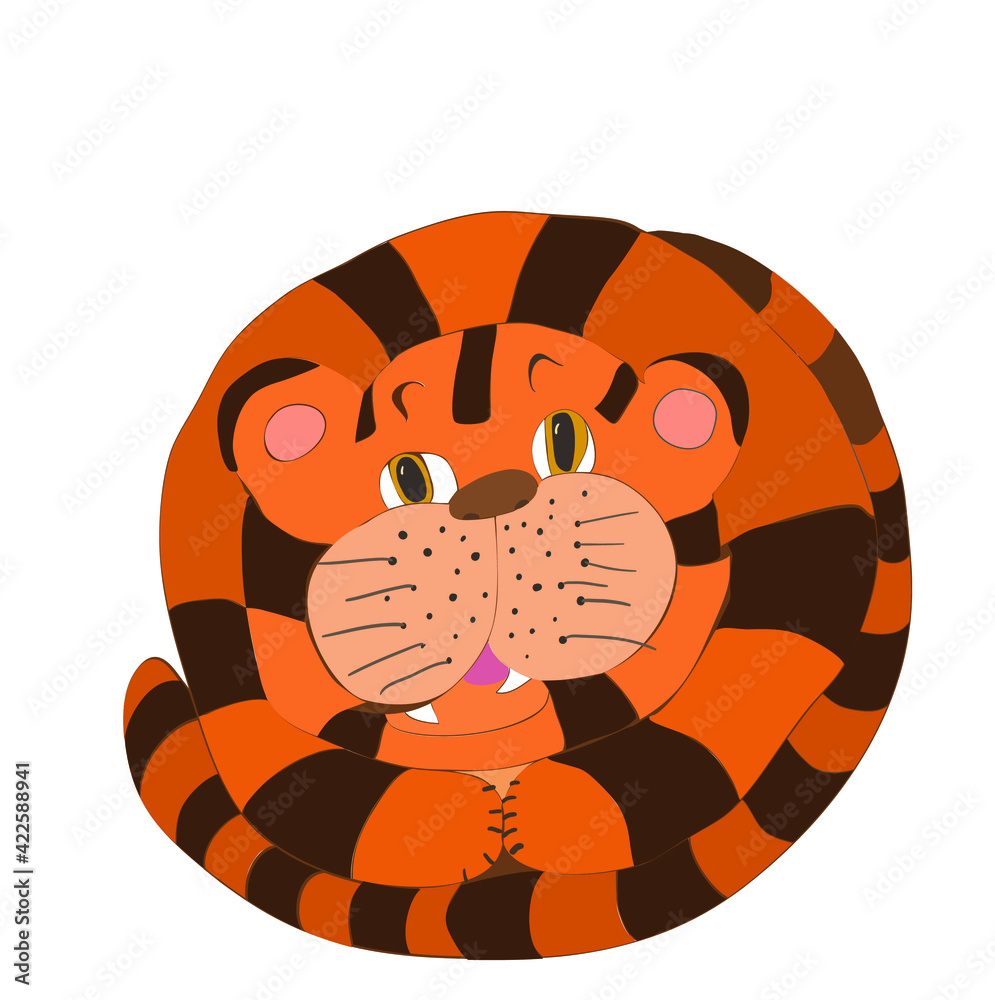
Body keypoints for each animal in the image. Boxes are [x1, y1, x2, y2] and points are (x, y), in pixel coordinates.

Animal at [123, 211, 911, 960]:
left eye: (565, 442)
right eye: (408, 478)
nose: (494, 499)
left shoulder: (804, 544)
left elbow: (746, 680)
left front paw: (567, 809)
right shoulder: (219, 632)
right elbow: (280, 762)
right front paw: (440, 827)